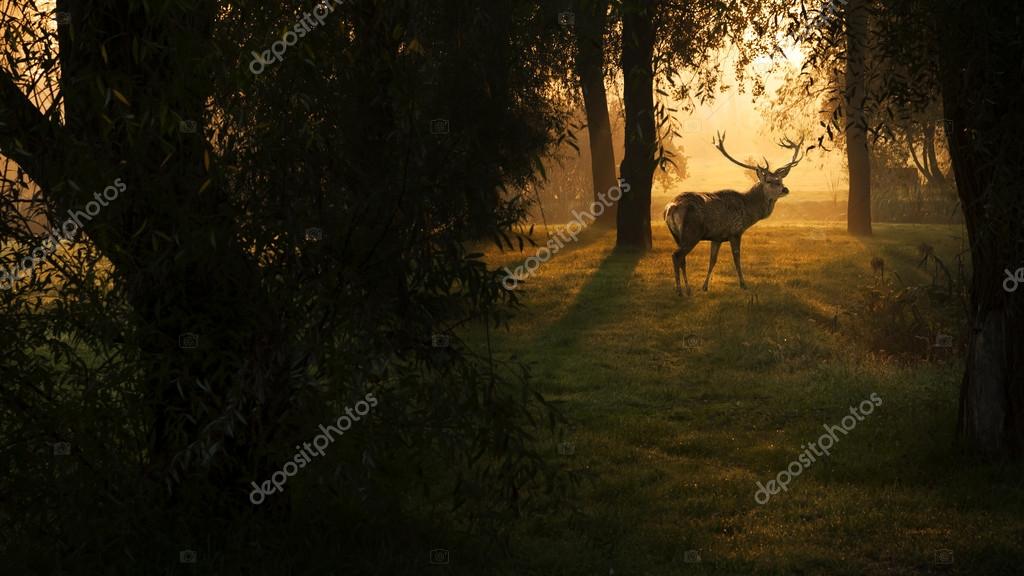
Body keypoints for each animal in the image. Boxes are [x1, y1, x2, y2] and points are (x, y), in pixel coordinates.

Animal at [663, 132, 806, 295]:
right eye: (769, 181)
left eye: (781, 180)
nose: (785, 189)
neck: (748, 211)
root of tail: (671, 208)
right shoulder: (735, 232)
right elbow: (737, 259)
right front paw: (743, 284)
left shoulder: (717, 237)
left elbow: (712, 260)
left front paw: (704, 286)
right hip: (691, 232)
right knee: (676, 256)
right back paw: (680, 291)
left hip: (677, 235)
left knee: (682, 259)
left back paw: (687, 289)